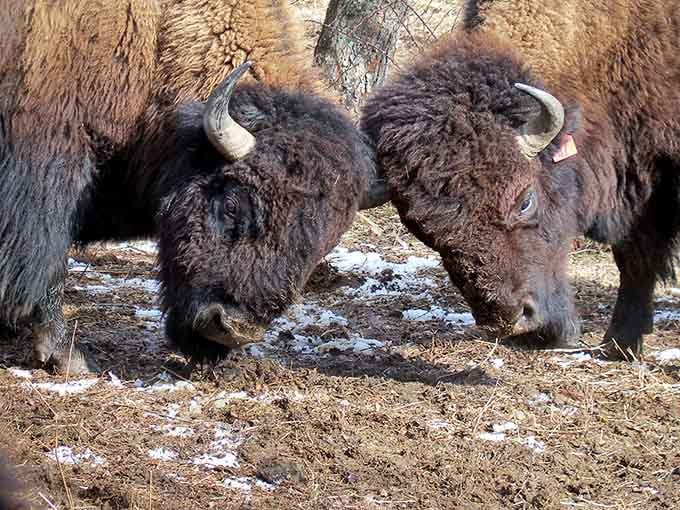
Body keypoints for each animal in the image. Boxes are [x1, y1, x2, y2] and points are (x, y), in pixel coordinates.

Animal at [0, 0, 381, 372]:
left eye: (319, 246)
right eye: (232, 205)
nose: (233, 330)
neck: (158, 37)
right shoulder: (48, 162)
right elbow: (47, 259)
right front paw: (65, 355)